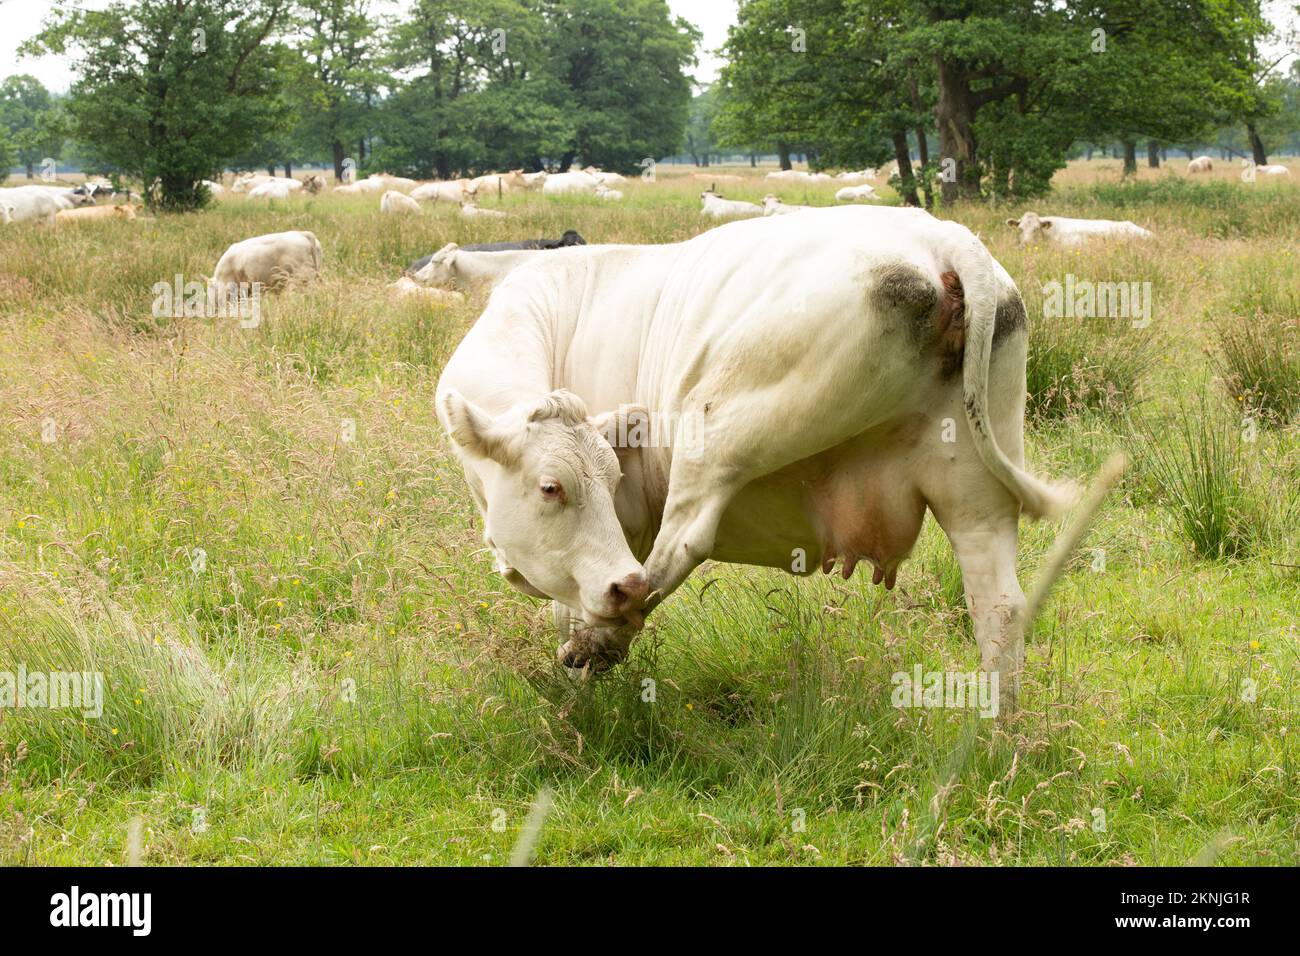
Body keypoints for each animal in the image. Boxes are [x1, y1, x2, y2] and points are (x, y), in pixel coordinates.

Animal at [436, 206, 1077, 709]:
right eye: (552, 487)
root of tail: (941, 235)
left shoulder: (614, 539)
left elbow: (577, 602)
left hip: (719, 433)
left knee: (682, 542)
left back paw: (604, 641)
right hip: (974, 489)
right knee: (1000, 609)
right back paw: (994, 737)